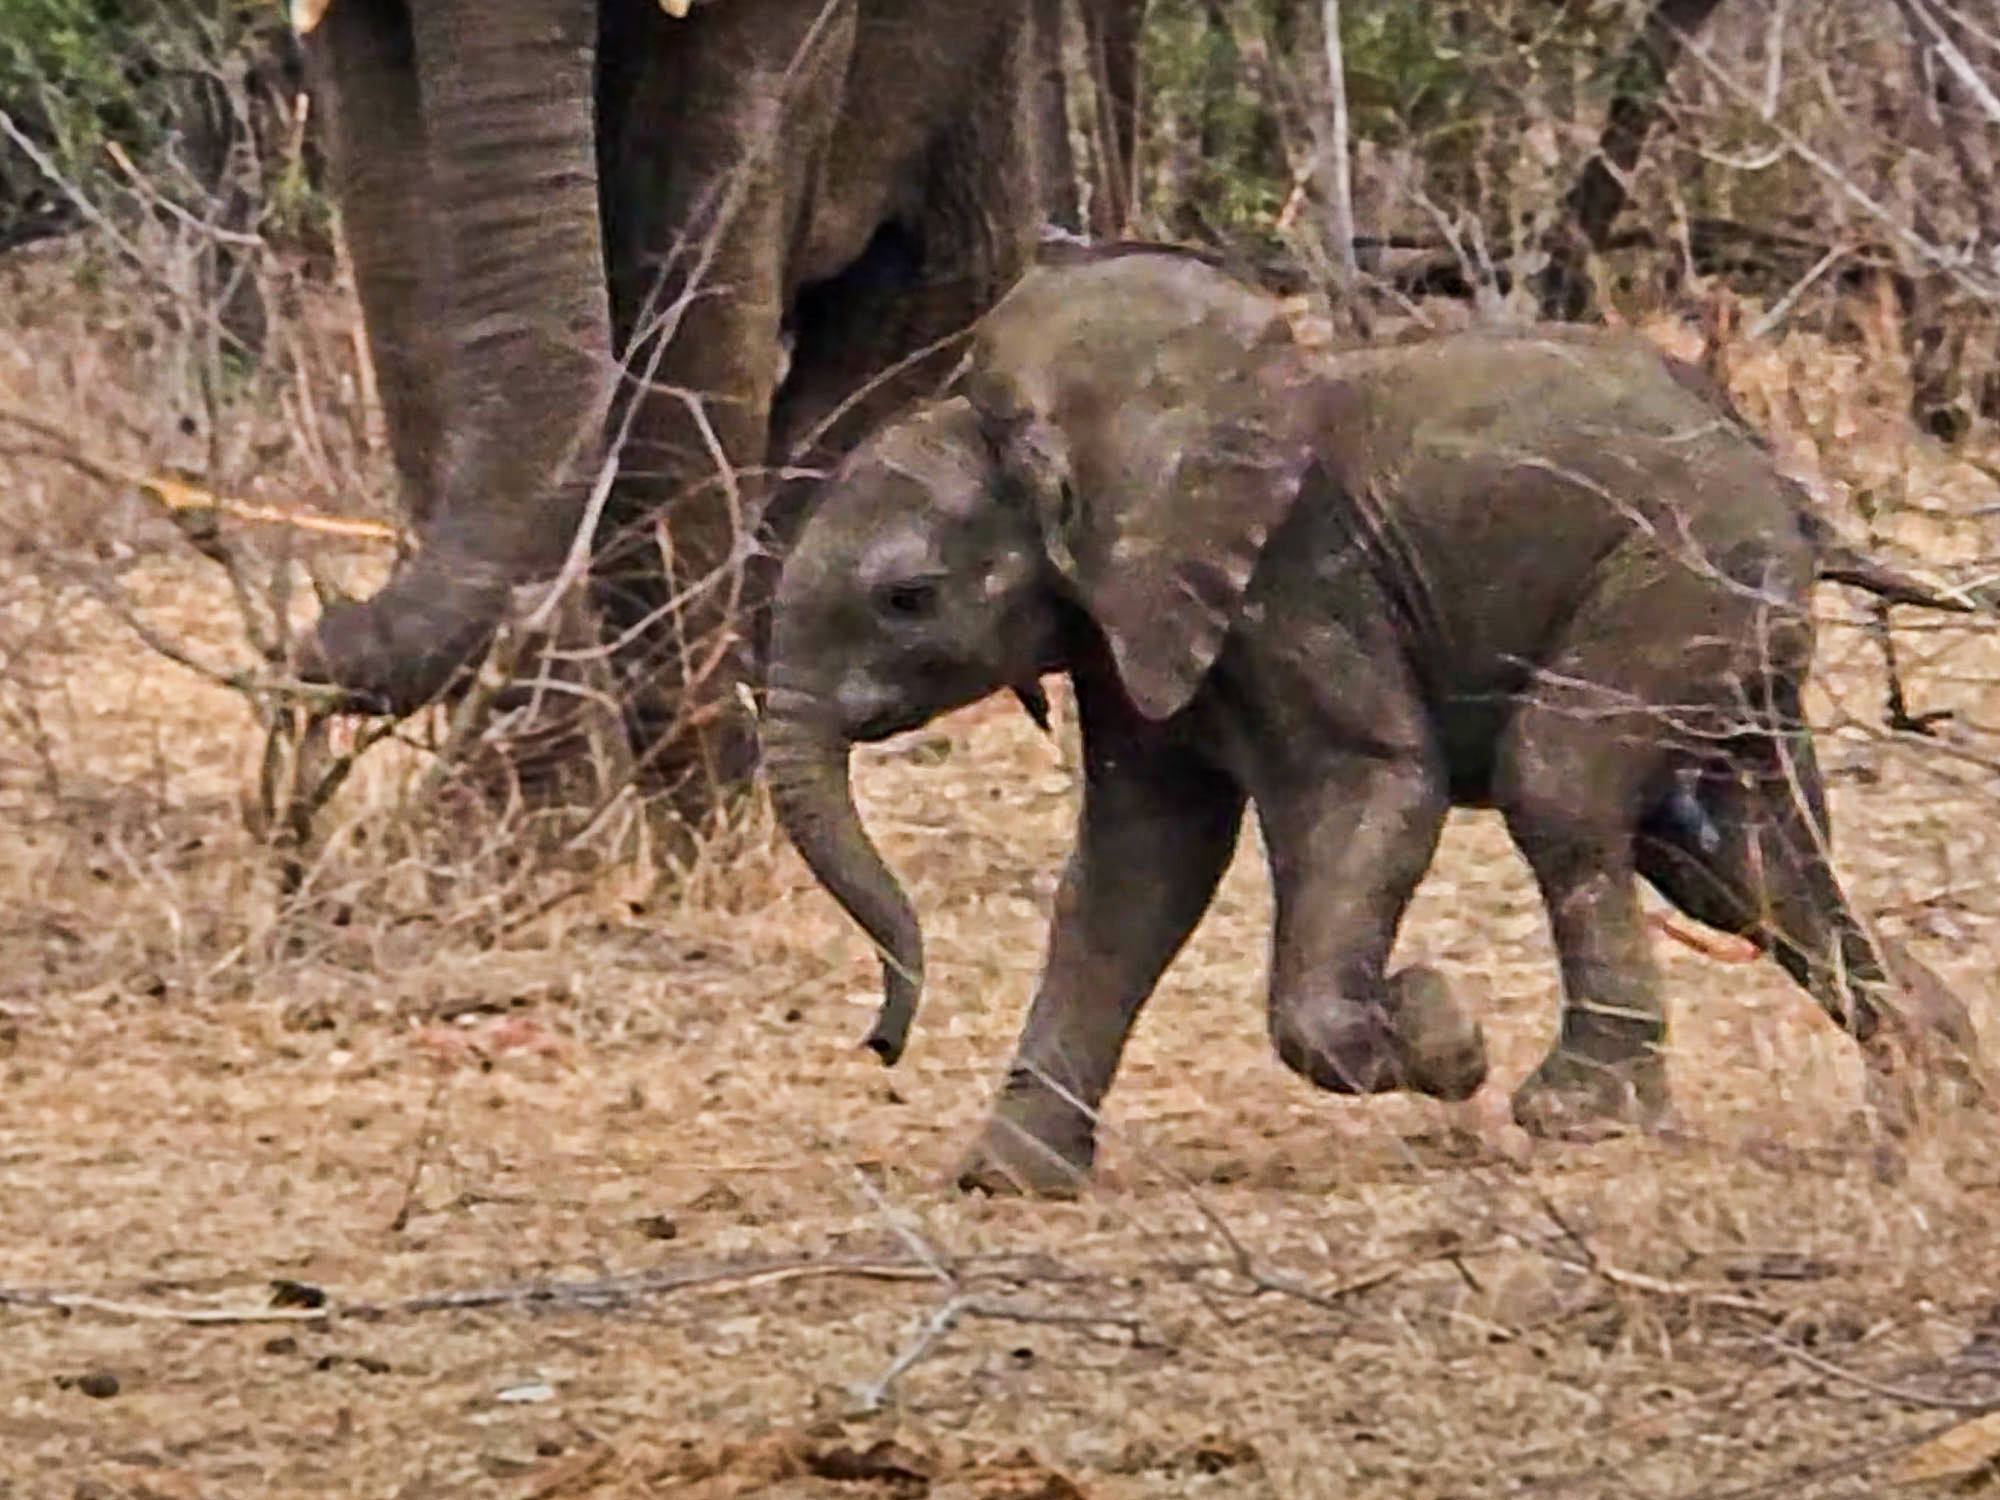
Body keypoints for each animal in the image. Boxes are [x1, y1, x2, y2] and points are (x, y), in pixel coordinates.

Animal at [290, 0, 1073, 805]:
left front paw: (682, 818)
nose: (316, 640)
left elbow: (696, 261)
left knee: (933, 284)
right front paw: (524, 823)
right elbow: (401, 257)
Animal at [760, 249, 1988, 1197]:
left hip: (1676, 576)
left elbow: (1372, 784)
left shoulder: (1297, 586)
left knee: (1565, 785)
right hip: (1725, 617)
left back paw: (1579, 1114)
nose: (879, 1044)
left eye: (906, 598)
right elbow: (1133, 865)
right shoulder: (1130, 617)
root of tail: (1786, 489)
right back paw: (1928, 1101)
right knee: (1732, 860)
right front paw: (1004, 1182)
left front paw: (1441, 1033)